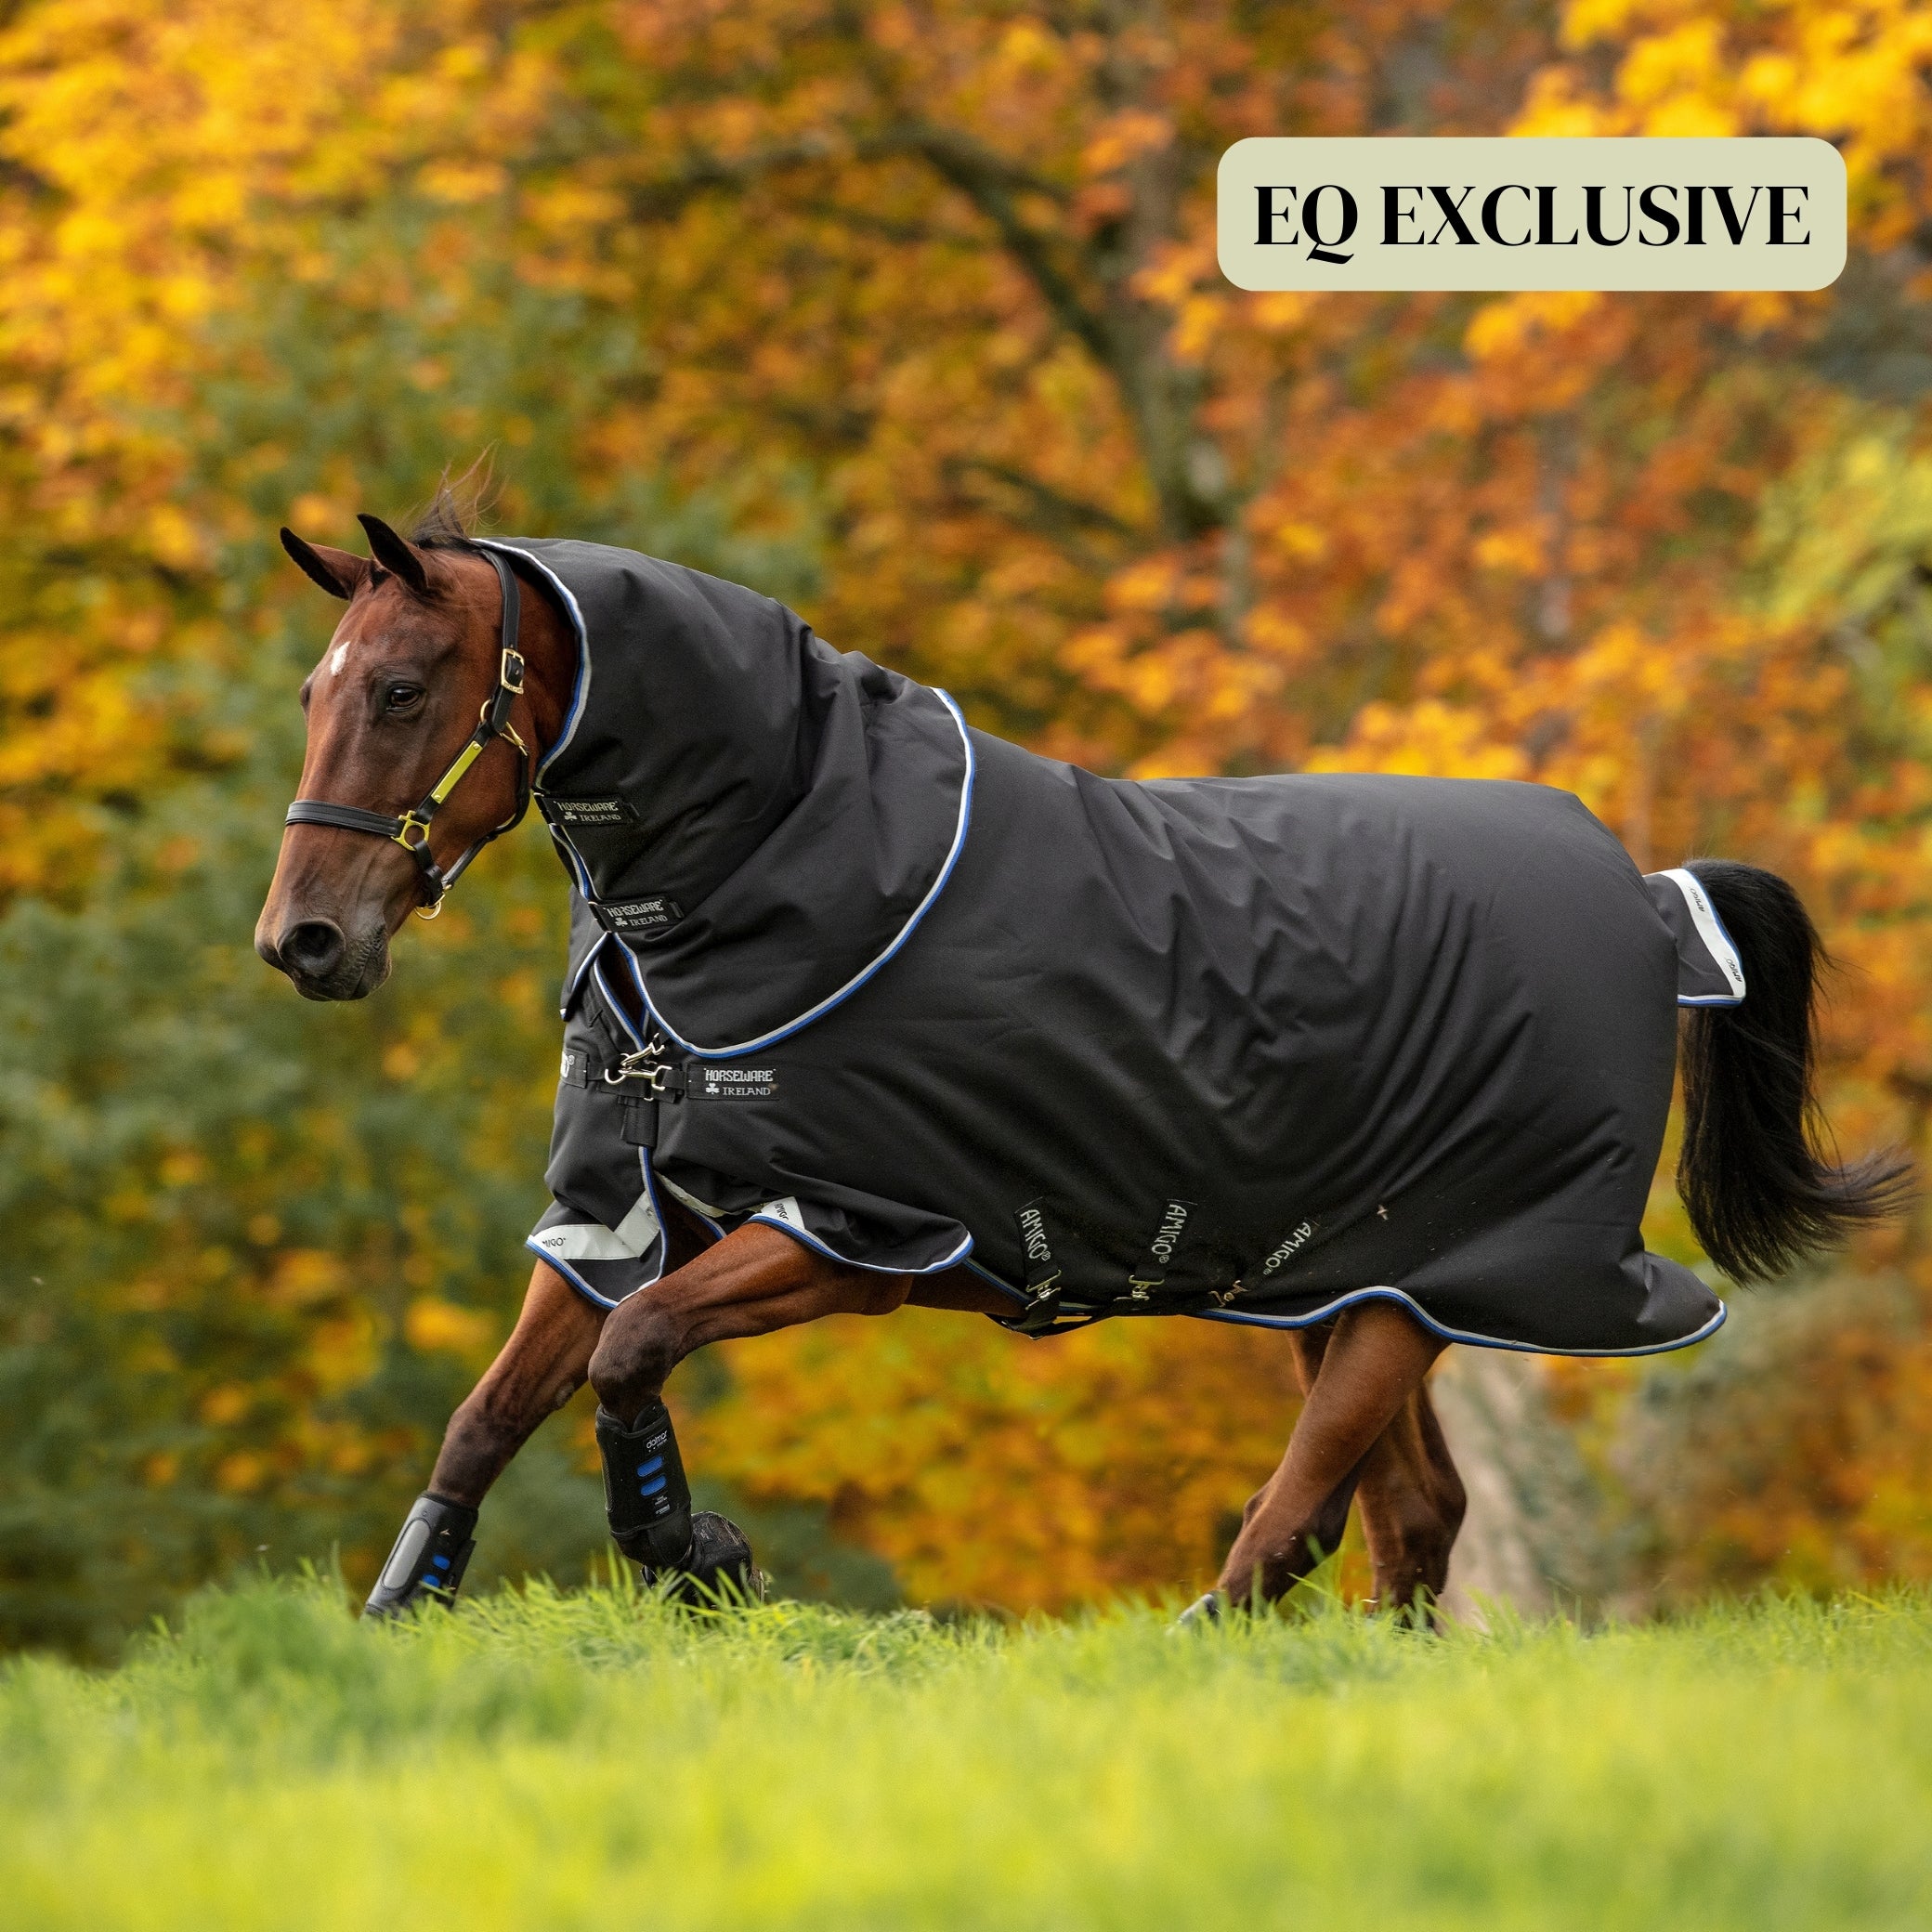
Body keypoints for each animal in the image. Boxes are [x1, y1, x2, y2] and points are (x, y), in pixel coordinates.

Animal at [255, 501, 1909, 1621]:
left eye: (400, 688)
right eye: (314, 691)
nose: (305, 940)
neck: (781, 869)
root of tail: (1649, 896)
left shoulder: (861, 1235)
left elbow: (631, 1351)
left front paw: (692, 1553)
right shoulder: (622, 1211)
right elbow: (495, 1405)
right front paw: (408, 1600)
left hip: (1443, 1277)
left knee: (1299, 1521)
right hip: (1344, 1280)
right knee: (1410, 1520)